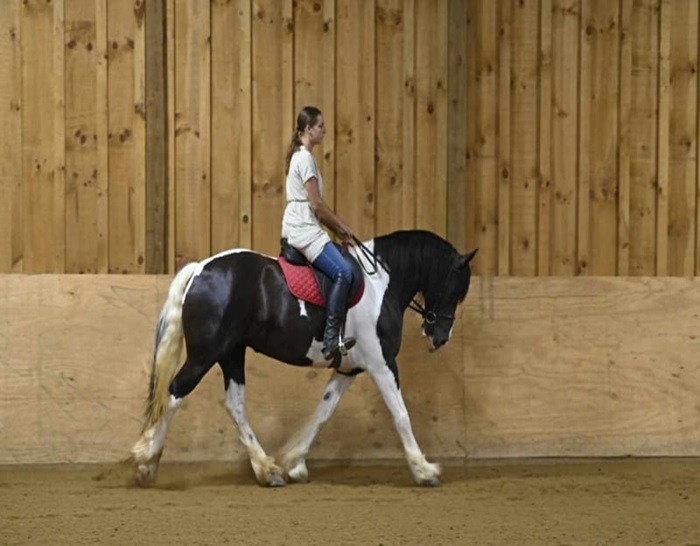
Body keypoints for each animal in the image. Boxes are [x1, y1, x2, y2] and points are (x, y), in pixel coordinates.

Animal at [131, 229, 477, 487]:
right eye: (455, 288)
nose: (440, 337)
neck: (382, 284)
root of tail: (201, 268)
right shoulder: (382, 365)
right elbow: (401, 414)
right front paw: (424, 469)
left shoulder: (349, 369)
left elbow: (323, 412)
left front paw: (295, 462)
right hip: (206, 353)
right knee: (174, 393)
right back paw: (147, 461)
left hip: (232, 353)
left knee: (234, 405)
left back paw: (267, 469)